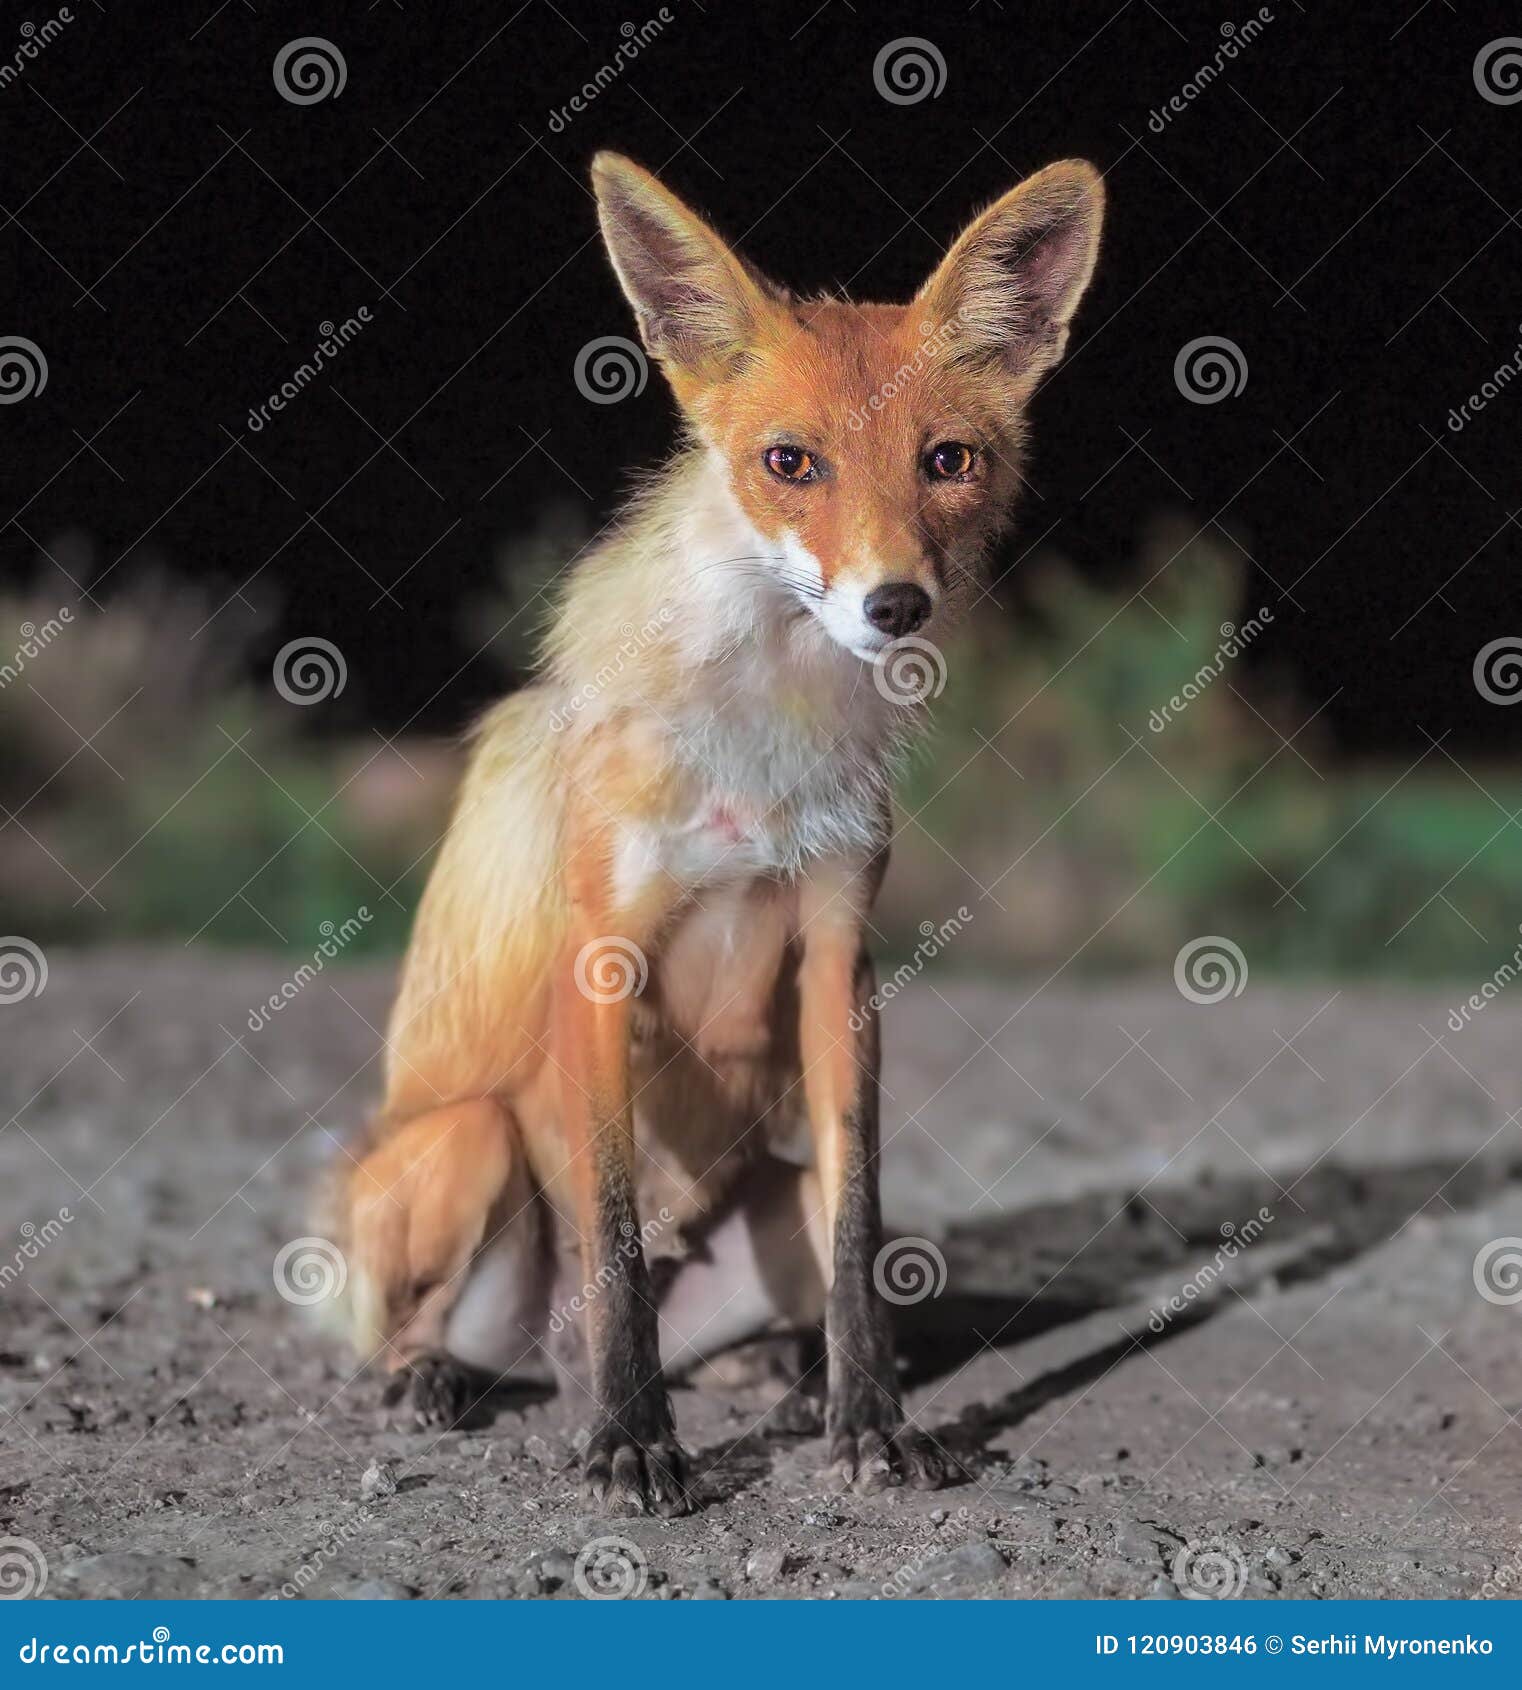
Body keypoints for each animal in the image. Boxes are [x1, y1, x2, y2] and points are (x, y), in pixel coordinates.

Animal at [325, 150, 1105, 1517]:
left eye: (946, 459)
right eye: (791, 462)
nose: (893, 602)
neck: (763, 747)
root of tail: (537, 1353)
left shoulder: (841, 957)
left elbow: (857, 1237)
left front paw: (869, 1421)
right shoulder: (601, 955)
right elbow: (615, 1239)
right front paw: (632, 1440)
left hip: (768, 1199)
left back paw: (770, 1380)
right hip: (469, 1148)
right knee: (457, 1323)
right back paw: (449, 1380)